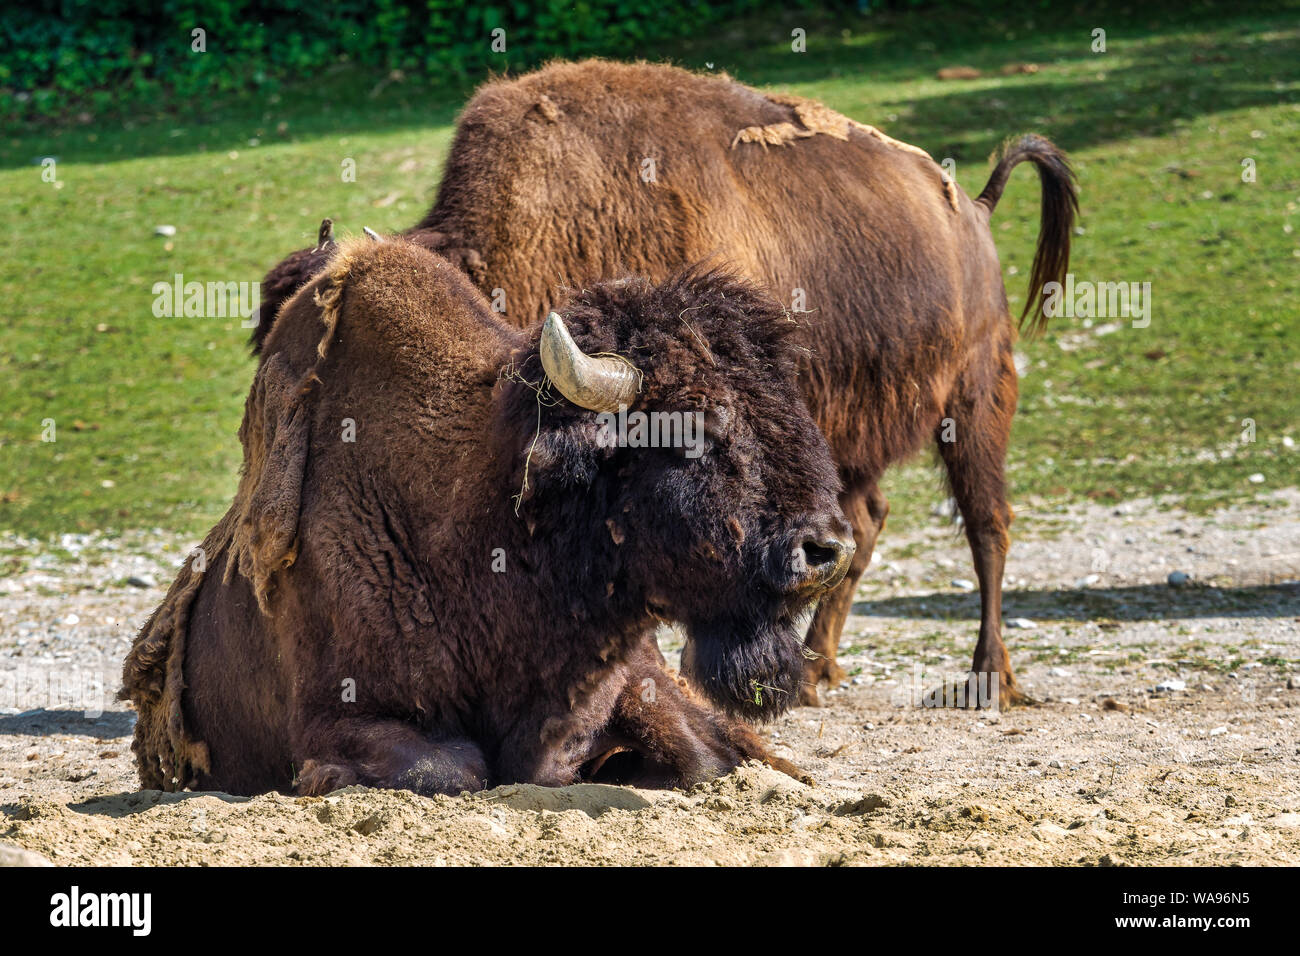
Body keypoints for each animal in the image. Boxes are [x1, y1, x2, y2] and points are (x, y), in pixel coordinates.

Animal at [122, 240, 854, 795]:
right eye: (692, 431)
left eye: (790, 403)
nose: (824, 550)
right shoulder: (336, 717)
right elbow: (459, 770)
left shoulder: (629, 683)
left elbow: (694, 756)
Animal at [253, 60, 1077, 708]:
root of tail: (970, 208)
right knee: (866, 522)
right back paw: (818, 671)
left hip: (974, 396)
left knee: (987, 522)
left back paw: (986, 680)